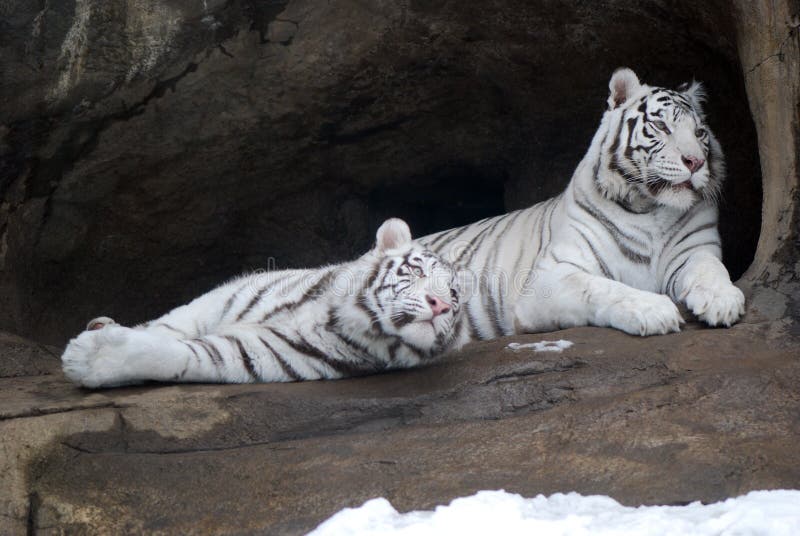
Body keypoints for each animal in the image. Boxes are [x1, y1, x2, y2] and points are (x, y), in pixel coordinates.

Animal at [61, 218, 463, 388]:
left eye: (454, 297)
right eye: (416, 270)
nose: (440, 305)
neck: (331, 313)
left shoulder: (257, 352)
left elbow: (182, 354)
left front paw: (91, 358)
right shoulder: (218, 300)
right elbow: (170, 325)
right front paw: (101, 337)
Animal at [420, 67, 745, 343]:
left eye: (700, 133)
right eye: (661, 125)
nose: (696, 162)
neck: (650, 208)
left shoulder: (695, 250)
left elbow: (710, 268)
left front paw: (723, 300)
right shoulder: (550, 278)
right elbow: (603, 288)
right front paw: (654, 310)